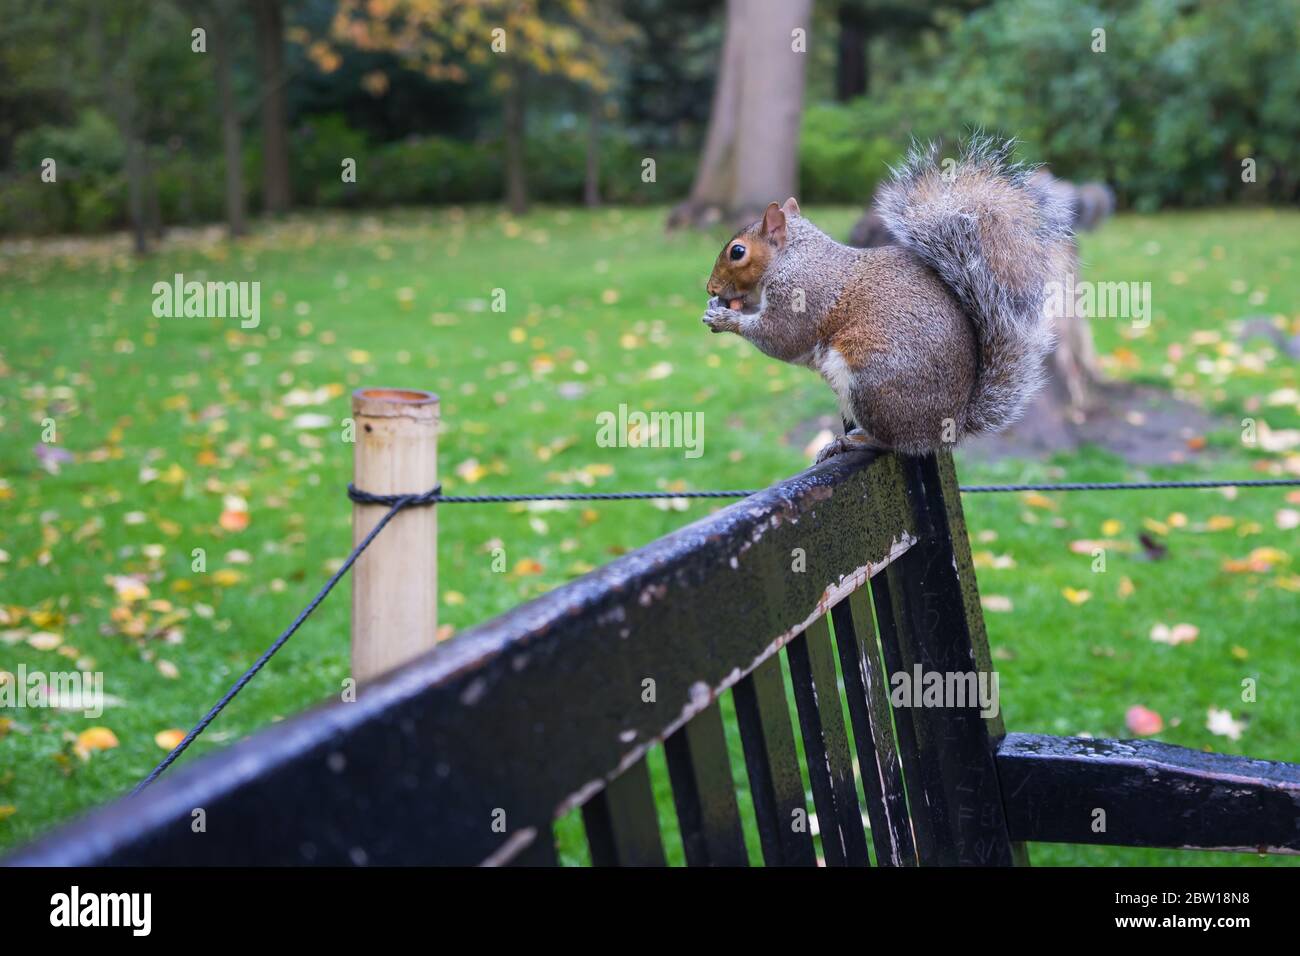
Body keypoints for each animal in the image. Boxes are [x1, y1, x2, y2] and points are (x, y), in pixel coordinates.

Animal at [702, 136, 1073, 460]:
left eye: (737, 252)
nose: (710, 289)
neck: (793, 256)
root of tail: (948, 428)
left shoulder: (802, 294)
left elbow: (780, 338)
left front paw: (726, 318)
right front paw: (718, 308)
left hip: (870, 382)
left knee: (891, 442)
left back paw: (853, 441)